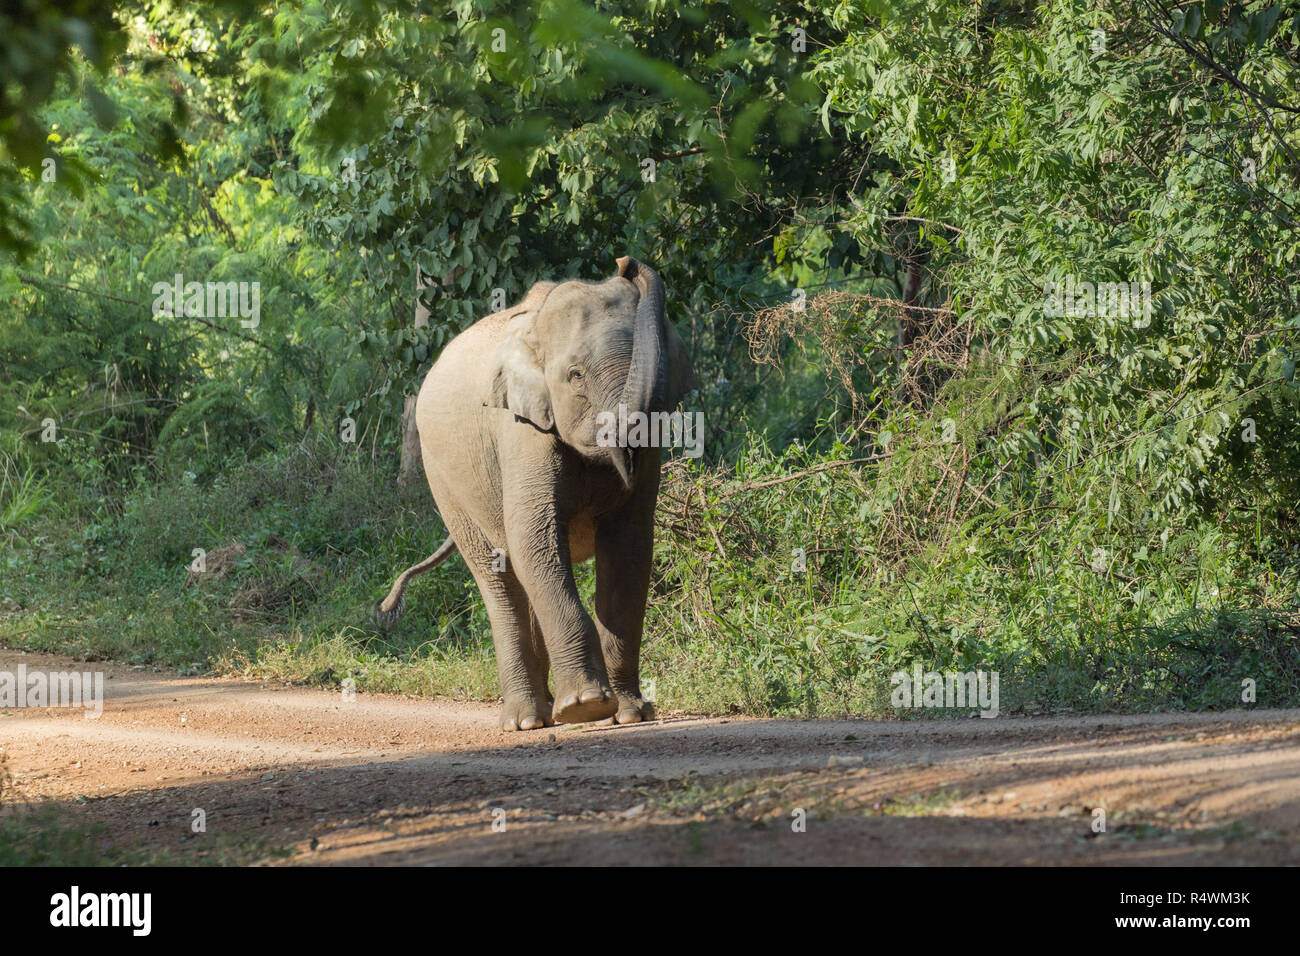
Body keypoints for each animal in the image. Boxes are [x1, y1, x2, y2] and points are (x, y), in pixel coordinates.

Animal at [375, 256, 698, 731]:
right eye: (575, 376)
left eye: (664, 372)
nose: (626, 263)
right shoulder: (519, 430)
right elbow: (536, 538)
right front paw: (587, 706)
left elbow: (630, 547)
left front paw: (630, 714)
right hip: (446, 486)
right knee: (500, 579)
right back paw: (527, 721)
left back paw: (547, 712)